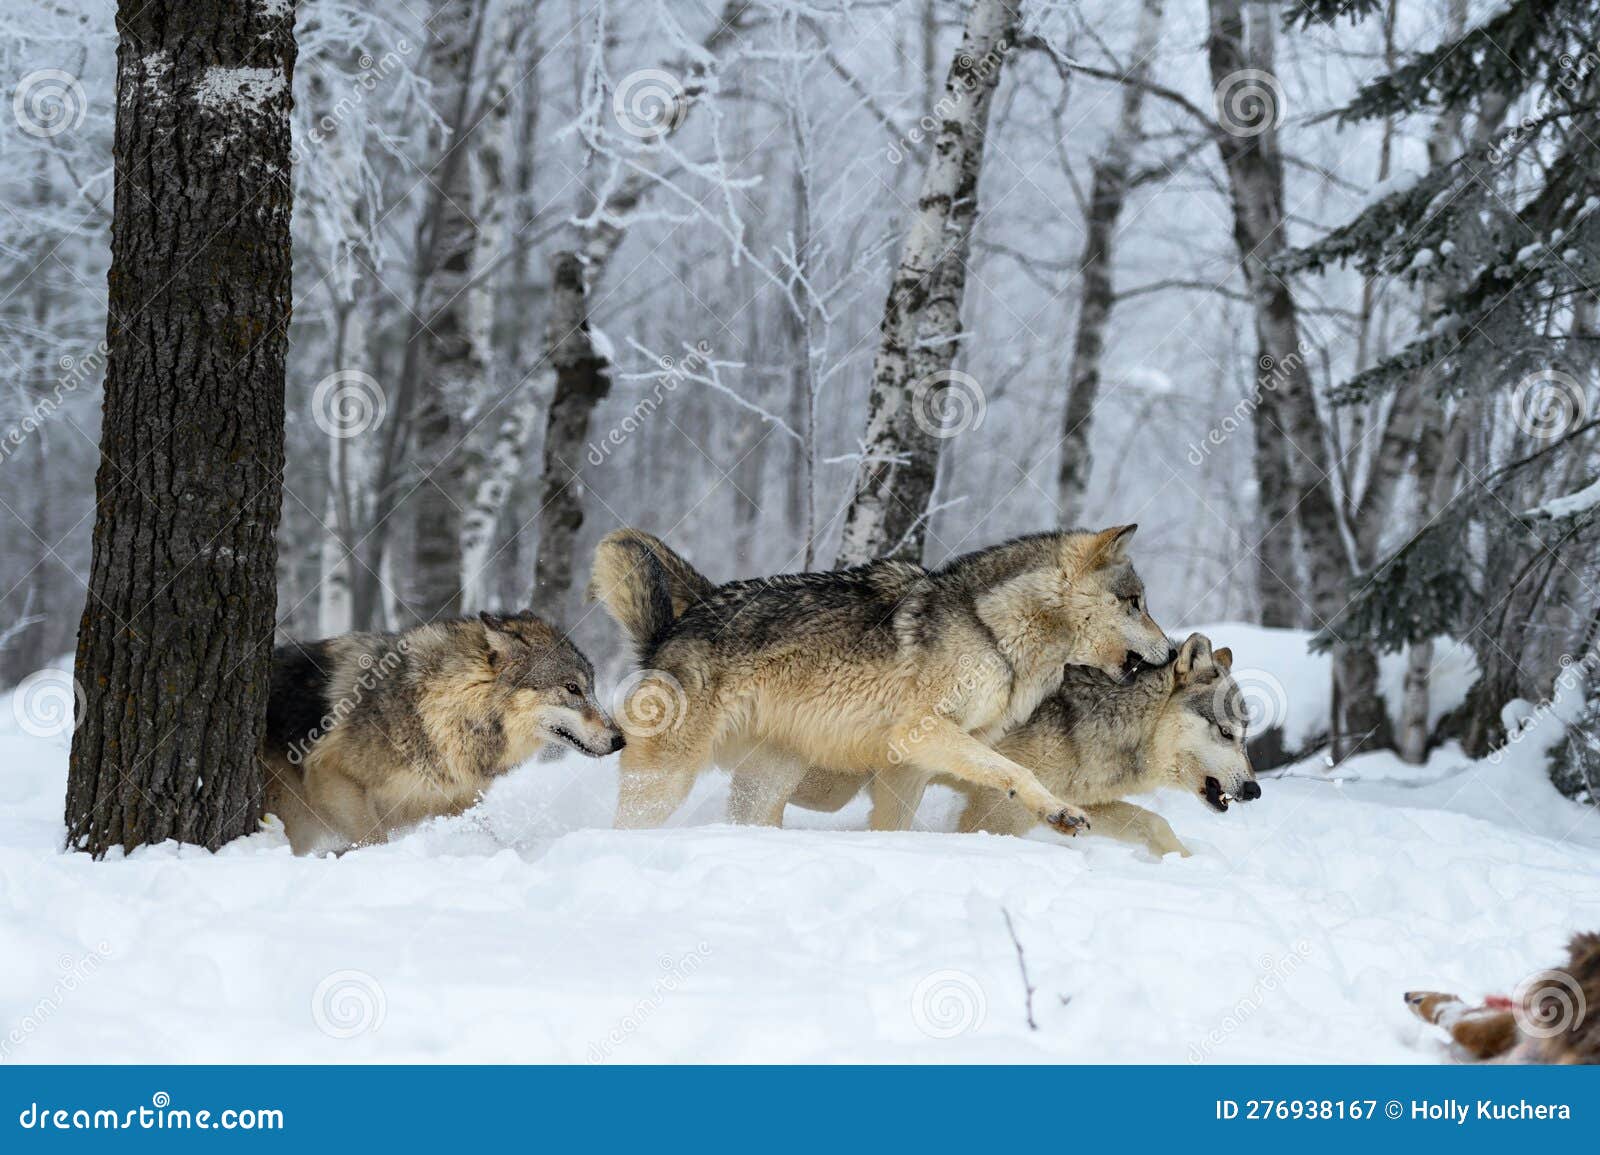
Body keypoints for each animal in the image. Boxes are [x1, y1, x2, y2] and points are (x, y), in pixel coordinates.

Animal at [263, 610, 623, 855]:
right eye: (572, 688)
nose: (620, 739)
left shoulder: (460, 802)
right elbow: (374, 840)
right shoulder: (332, 775)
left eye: (591, 688)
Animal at [587, 525, 1173, 834]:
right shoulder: (922, 732)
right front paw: (1059, 810)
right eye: (1136, 603)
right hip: (668, 779)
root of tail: (670, 629)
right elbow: (1015, 771)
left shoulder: (910, 763)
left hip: (765, 782)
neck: (993, 631)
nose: (1170, 653)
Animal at [787, 632, 1259, 851]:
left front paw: (1192, 865)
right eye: (1225, 732)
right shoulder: (996, 813)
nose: (1255, 790)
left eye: (1246, 734)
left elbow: (1155, 823)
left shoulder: (1077, 801)